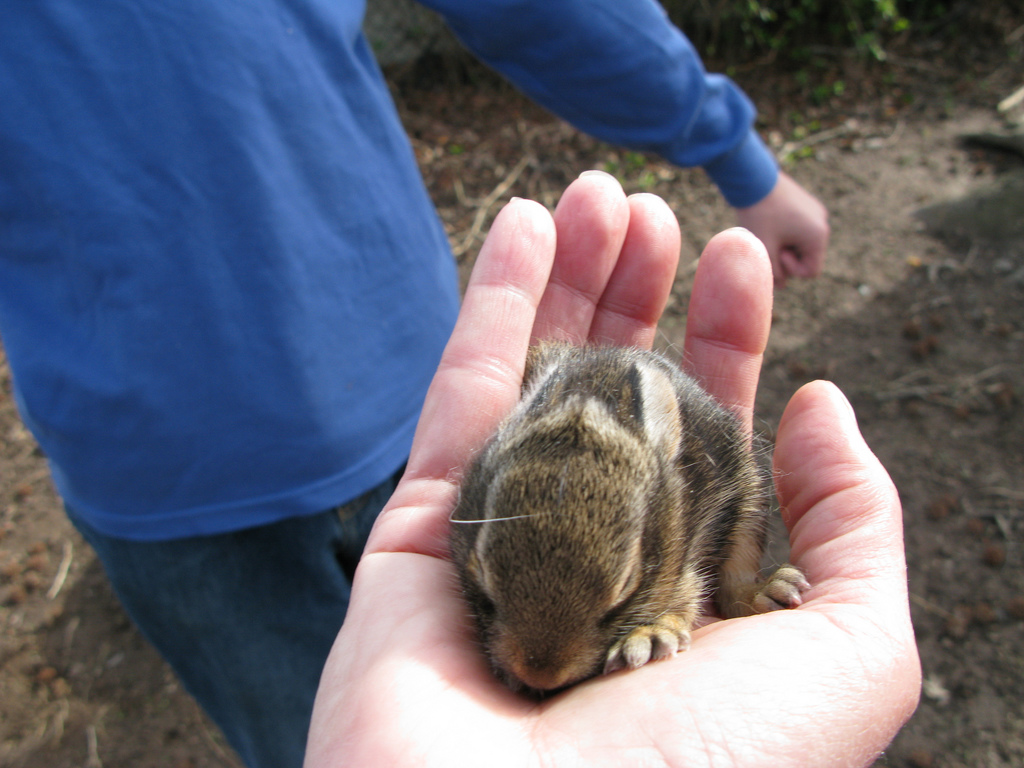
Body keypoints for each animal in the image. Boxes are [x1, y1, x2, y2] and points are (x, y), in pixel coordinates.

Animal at [449, 341, 808, 695]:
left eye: (625, 588)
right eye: (480, 575)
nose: (540, 675)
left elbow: (684, 600)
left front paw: (651, 637)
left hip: (747, 494)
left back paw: (767, 592)